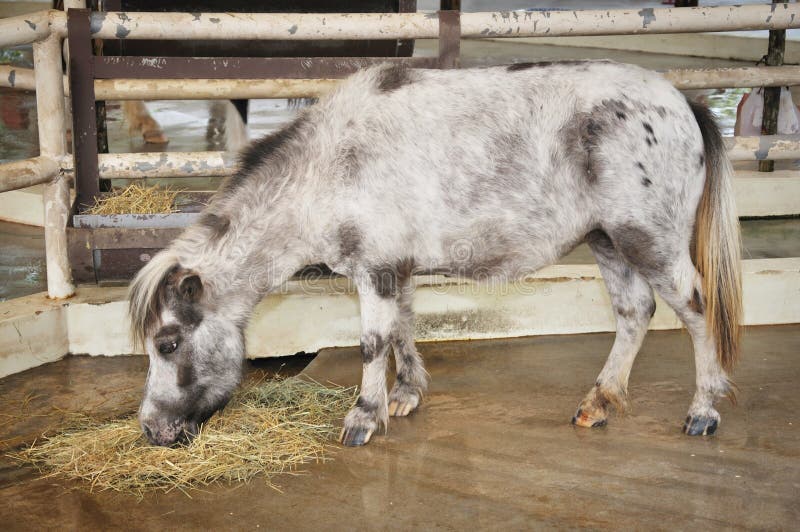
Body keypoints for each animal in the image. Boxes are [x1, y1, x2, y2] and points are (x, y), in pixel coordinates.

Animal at [129, 60, 742, 447]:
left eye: (168, 343)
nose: (153, 432)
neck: (329, 168)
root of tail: (682, 102)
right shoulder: (394, 270)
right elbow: (402, 329)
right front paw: (405, 396)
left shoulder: (374, 270)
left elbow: (373, 341)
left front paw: (364, 418)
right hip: (607, 240)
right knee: (635, 313)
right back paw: (598, 403)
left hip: (648, 241)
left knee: (696, 310)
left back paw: (703, 411)